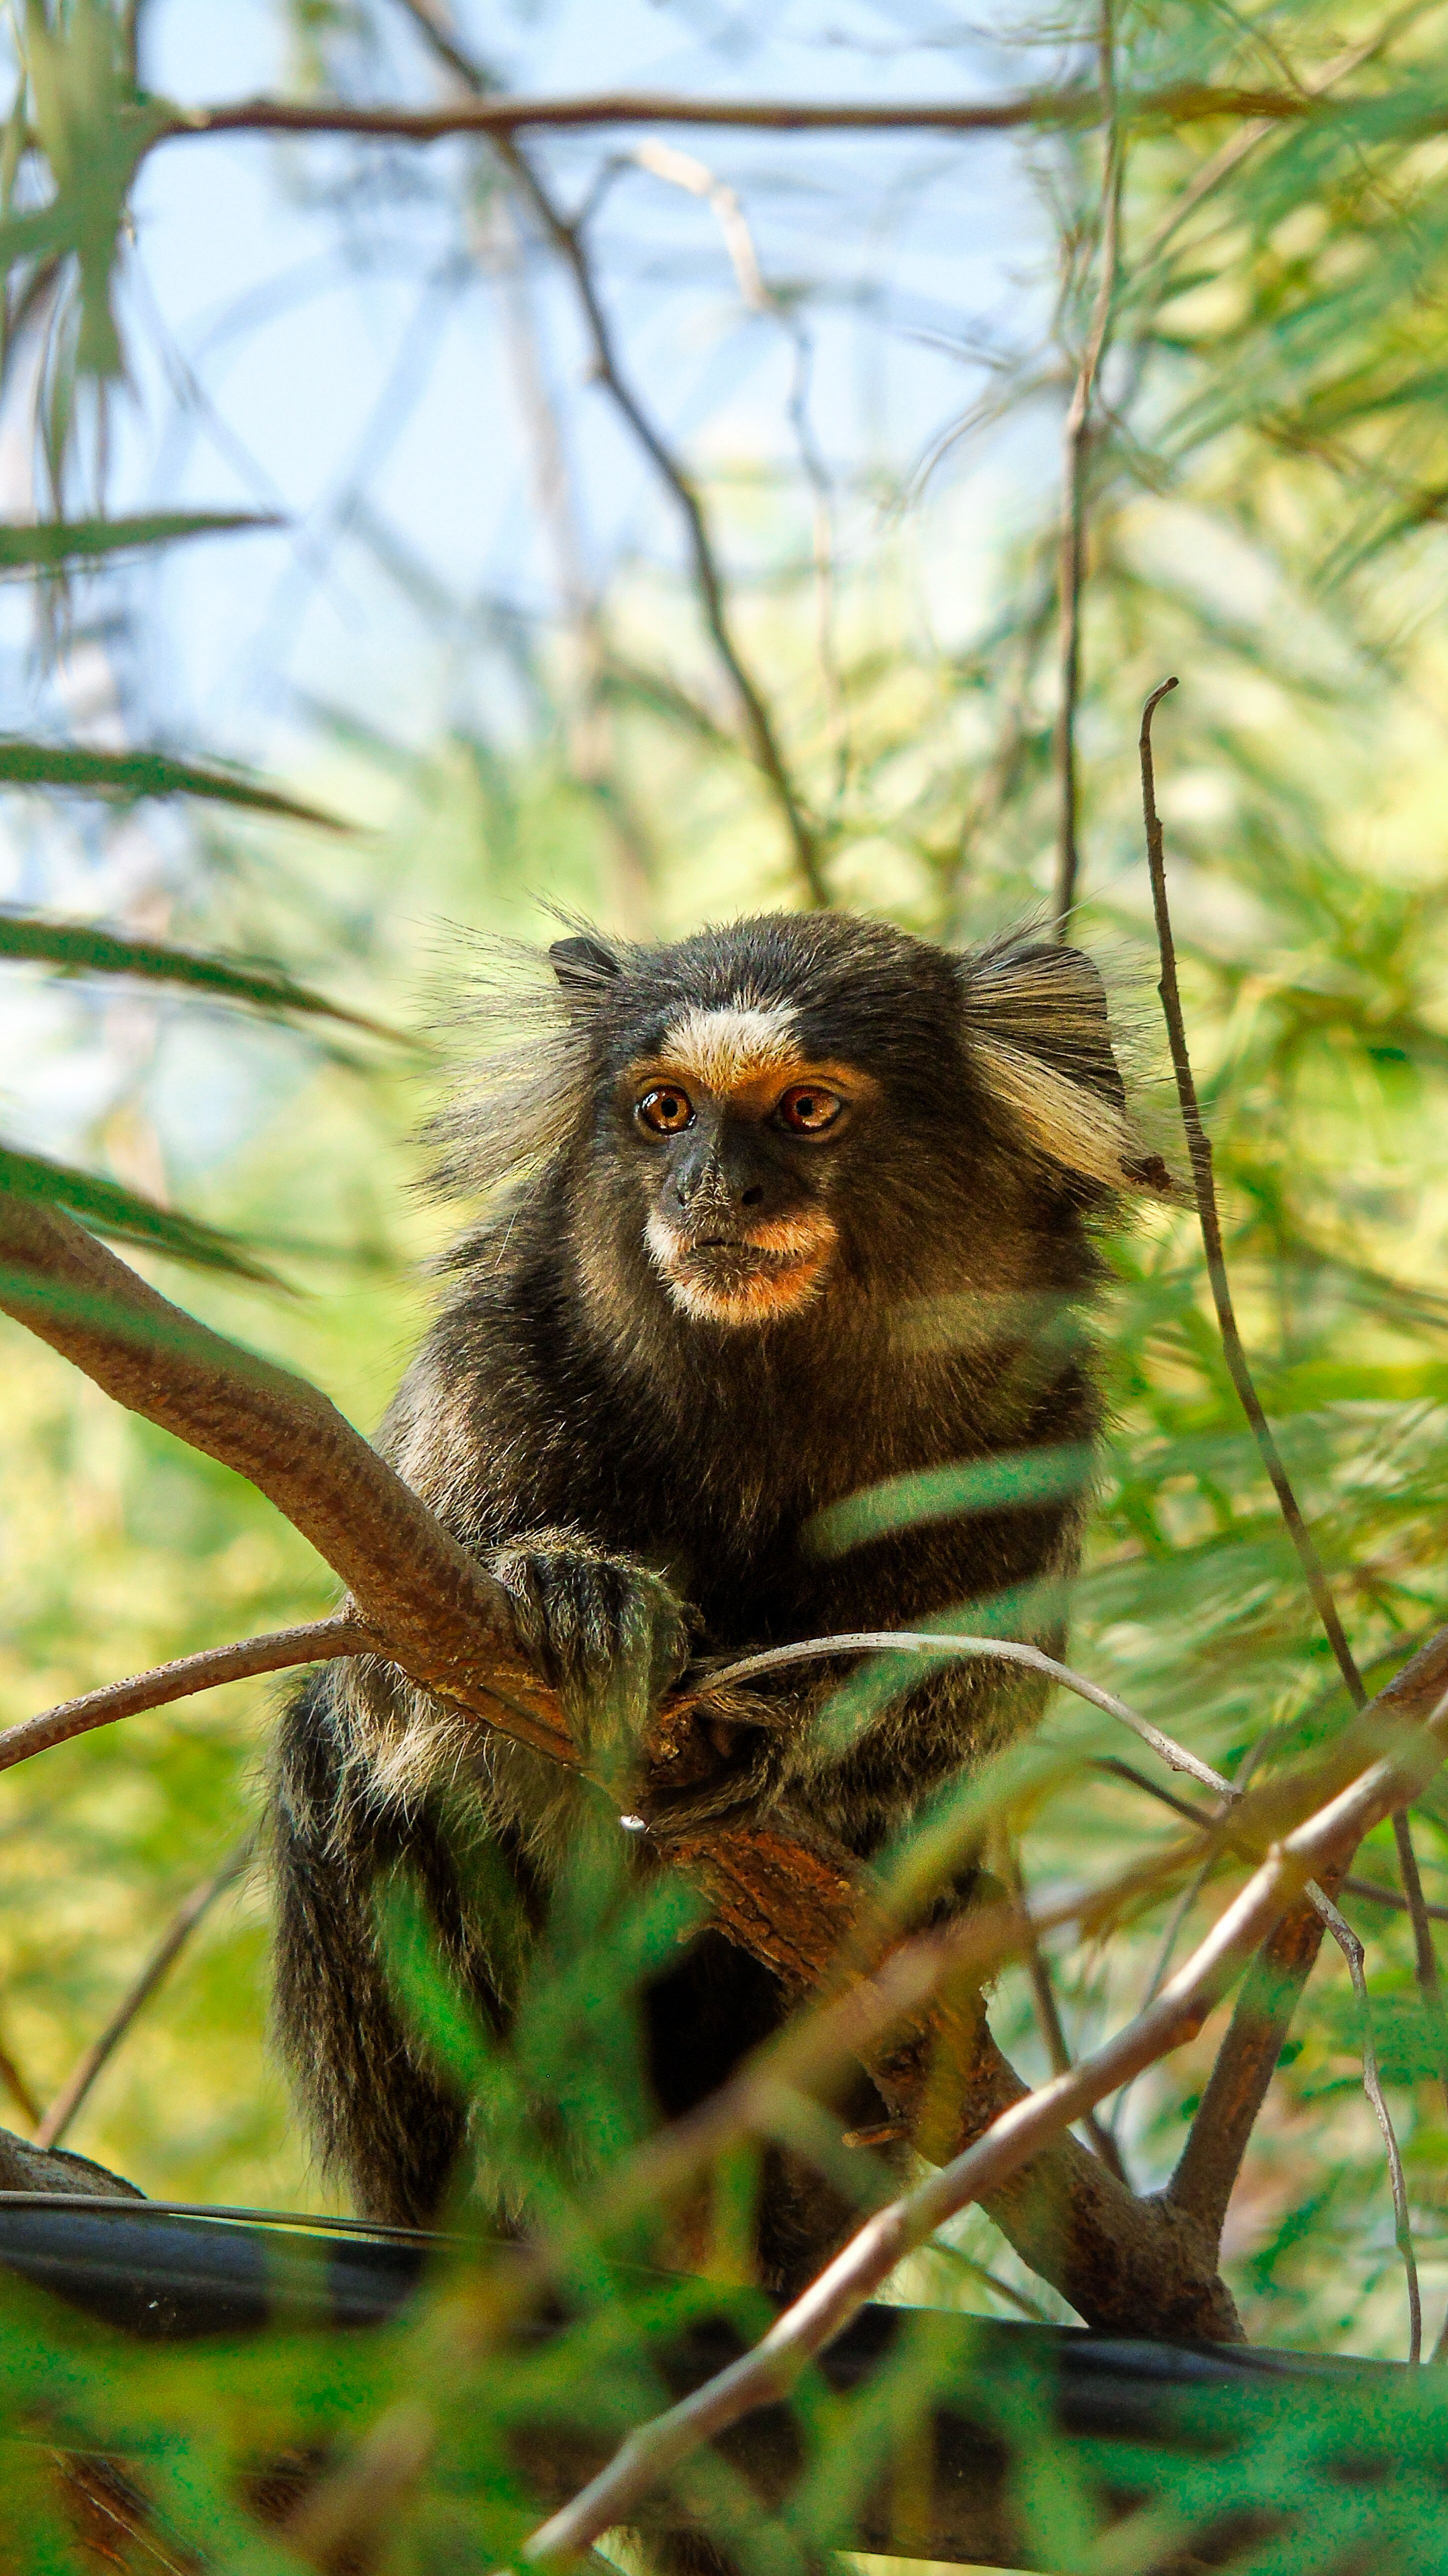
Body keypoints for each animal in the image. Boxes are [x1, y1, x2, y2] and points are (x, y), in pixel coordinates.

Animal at [271, 910, 1153, 2286]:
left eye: (804, 1110)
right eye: (663, 1110)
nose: (710, 1192)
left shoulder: (1036, 1429)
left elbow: (970, 1691)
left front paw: (780, 1731)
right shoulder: (485, 1366)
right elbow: (395, 1672)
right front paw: (575, 1587)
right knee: (339, 1767)